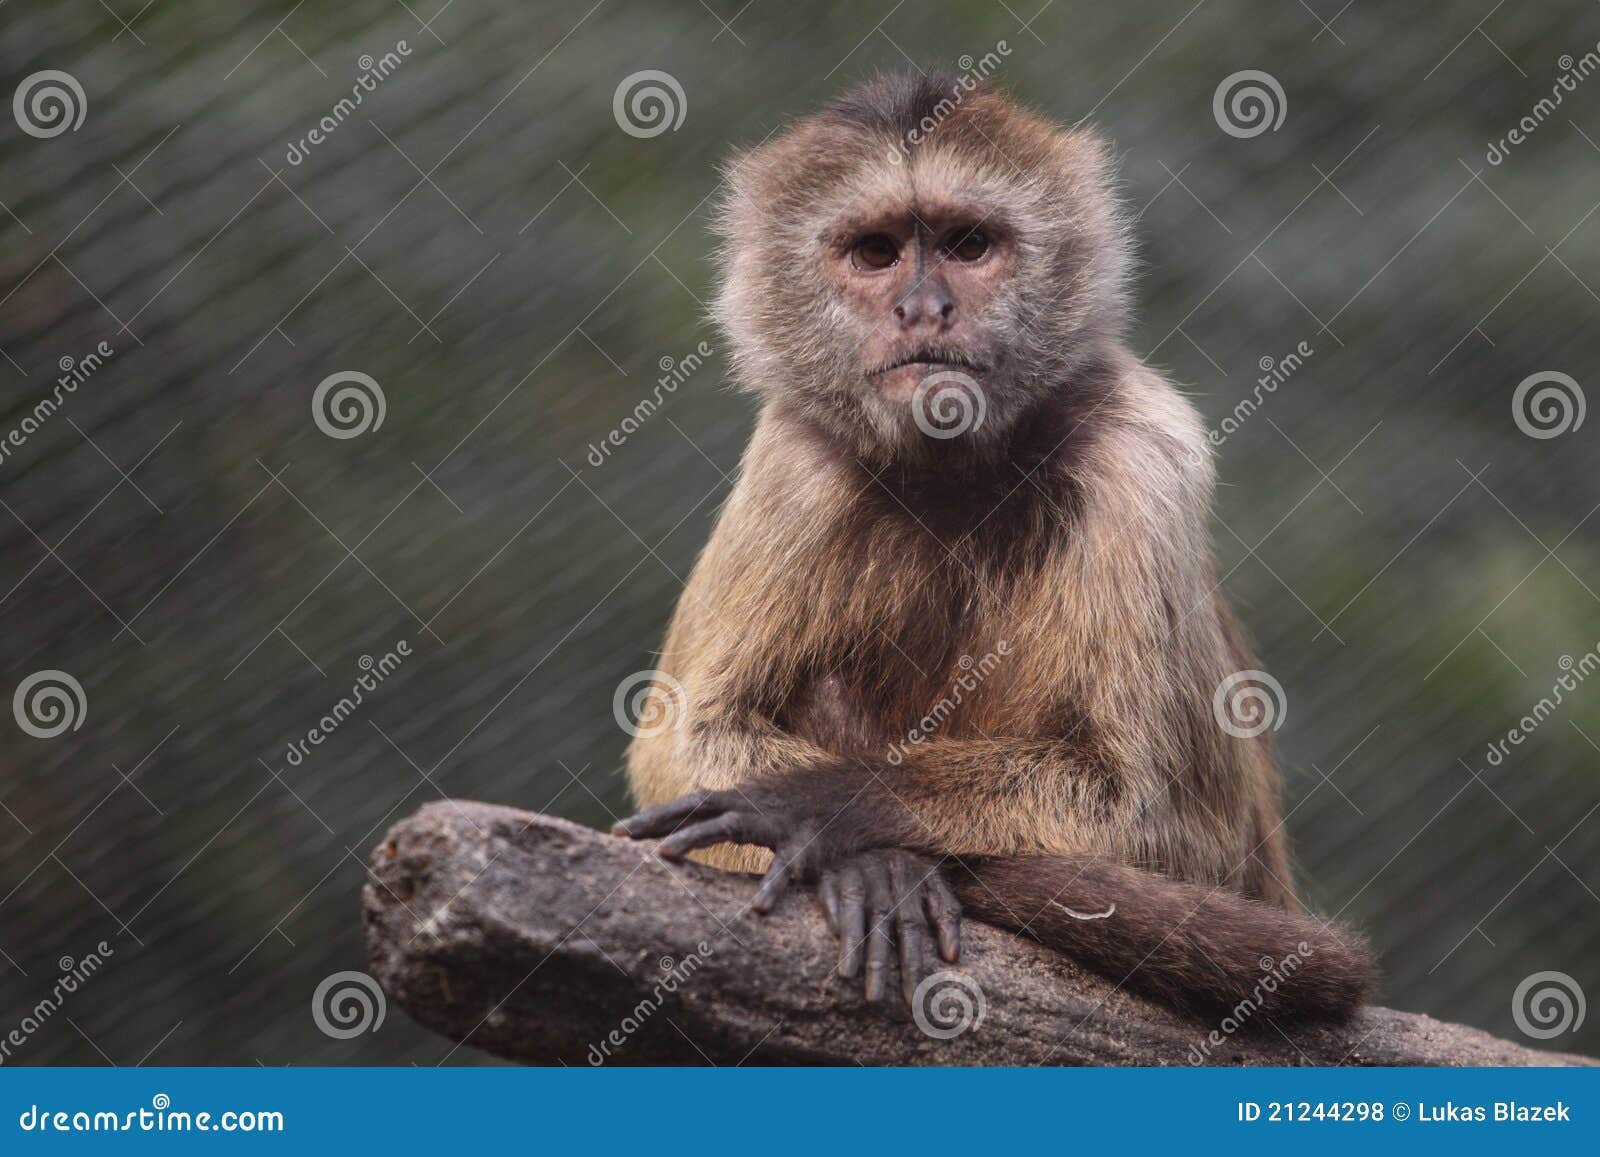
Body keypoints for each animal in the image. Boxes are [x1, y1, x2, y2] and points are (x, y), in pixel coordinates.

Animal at [614, 72, 1375, 1025]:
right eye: (876, 253)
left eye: (968, 245)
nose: (922, 309)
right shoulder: (797, 458)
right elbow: (681, 747)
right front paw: (873, 857)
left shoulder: (1143, 452)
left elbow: (1168, 831)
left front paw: (835, 811)